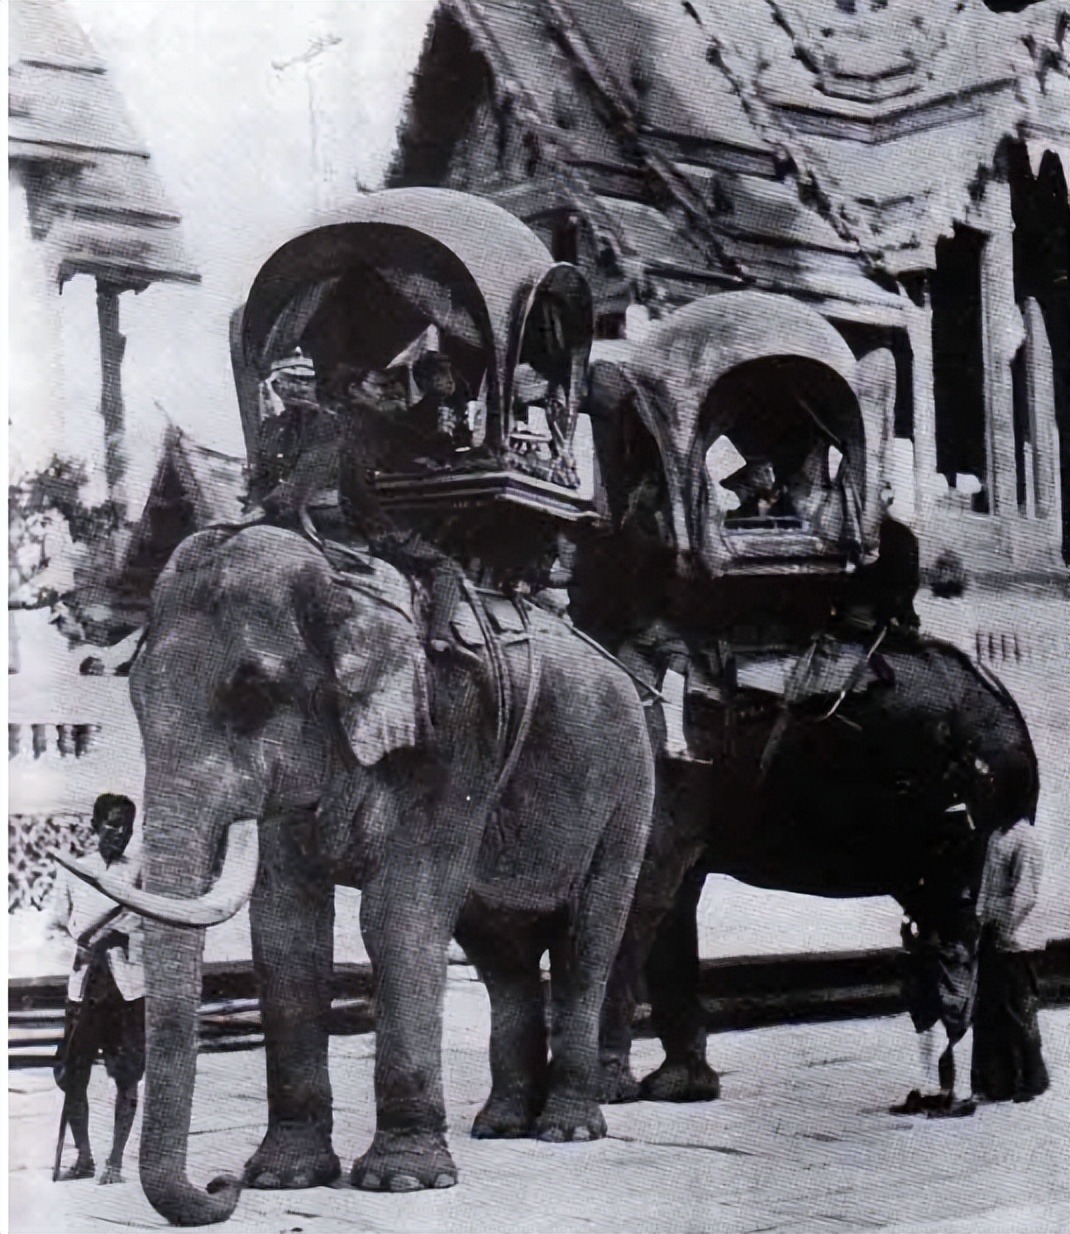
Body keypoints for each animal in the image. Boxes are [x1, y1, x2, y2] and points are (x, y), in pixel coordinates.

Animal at [75, 523, 654, 1226]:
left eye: (253, 696)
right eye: (136, 698)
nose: (221, 1184)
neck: (345, 582)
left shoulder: (454, 740)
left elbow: (398, 919)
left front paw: (402, 1182)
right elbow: (288, 931)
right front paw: (284, 1179)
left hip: (630, 791)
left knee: (586, 943)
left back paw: (566, 1129)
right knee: (501, 956)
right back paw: (501, 1126)